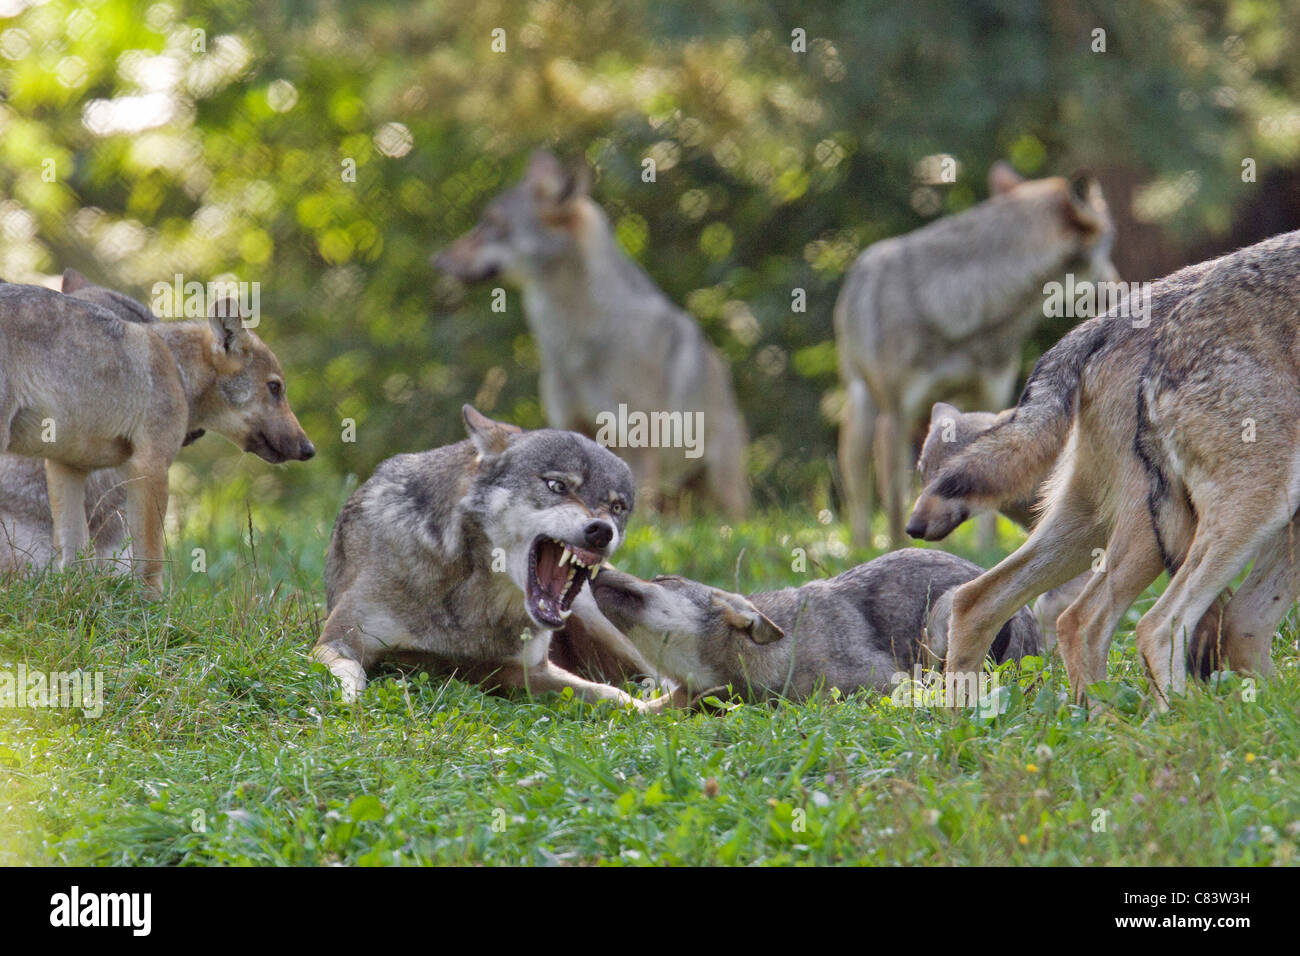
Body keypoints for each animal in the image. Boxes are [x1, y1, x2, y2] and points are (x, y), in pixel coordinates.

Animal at [0, 277, 313, 595]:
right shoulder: (151, 466)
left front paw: (76, 595)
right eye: (275, 388)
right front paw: (153, 601)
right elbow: (151, 557)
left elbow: (75, 557)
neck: (176, 367)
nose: (309, 449)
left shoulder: (67, 466)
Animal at [313, 405, 674, 711]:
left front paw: (650, 712)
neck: (474, 593)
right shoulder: (336, 642)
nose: (601, 531)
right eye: (557, 486)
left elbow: (611, 694)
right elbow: (349, 677)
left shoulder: (528, 672)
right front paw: (351, 704)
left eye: (617, 507)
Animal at [433, 150, 750, 517]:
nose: (436, 260)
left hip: (721, 490)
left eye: (493, 225)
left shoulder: (638, 443)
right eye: (484, 222)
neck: (572, 344)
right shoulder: (575, 430)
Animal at [835, 161, 1117, 547]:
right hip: (866, 418)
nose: (1122, 286)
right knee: (860, 496)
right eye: (1108, 246)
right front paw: (897, 549)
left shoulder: (992, 396)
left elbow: (989, 503)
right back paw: (861, 547)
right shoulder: (896, 415)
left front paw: (986, 549)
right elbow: (893, 509)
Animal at [907, 232, 1300, 704]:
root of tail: (1098, 327)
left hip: (1099, 527)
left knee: (977, 601)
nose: (912, 527)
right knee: (1130, 624)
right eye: (922, 475)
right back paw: (1168, 717)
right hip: (1218, 516)